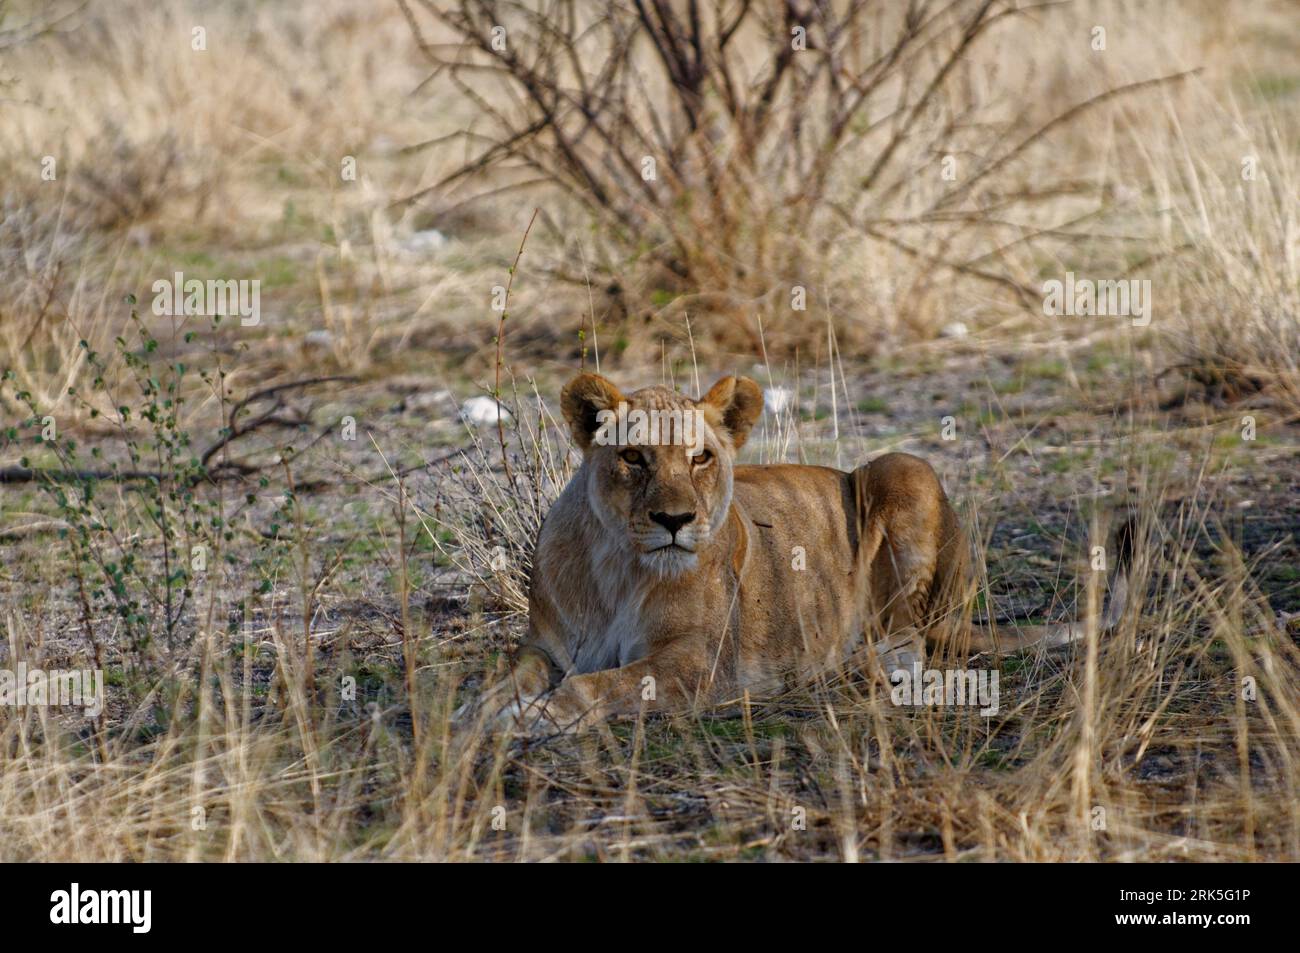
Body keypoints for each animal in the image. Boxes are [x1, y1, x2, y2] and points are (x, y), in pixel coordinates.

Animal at [468, 373, 1132, 734]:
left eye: (700, 458)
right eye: (633, 457)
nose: (675, 521)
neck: (622, 567)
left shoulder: (698, 665)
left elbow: (599, 685)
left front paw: (536, 717)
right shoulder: (547, 646)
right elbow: (512, 672)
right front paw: (490, 708)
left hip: (902, 470)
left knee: (910, 646)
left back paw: (840, 668)